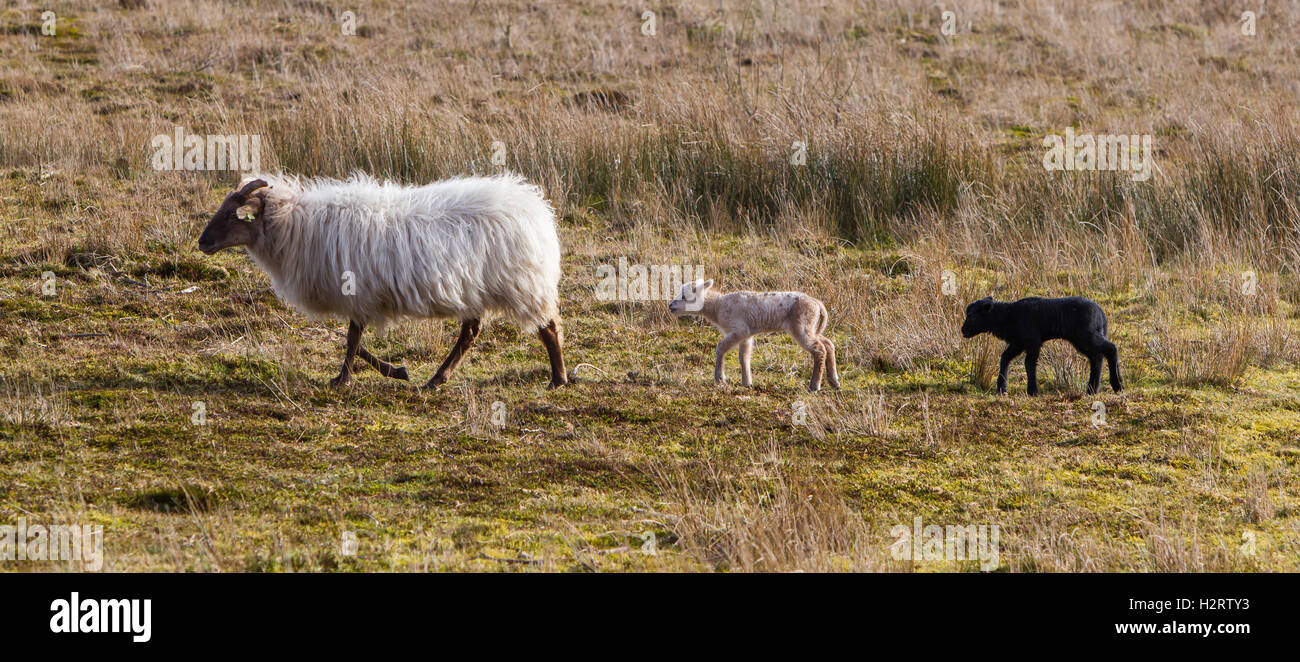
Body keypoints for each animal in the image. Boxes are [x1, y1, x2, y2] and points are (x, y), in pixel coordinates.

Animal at [197, 173, 569, 389]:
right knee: (470, 333)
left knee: (548, 328)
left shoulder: (357, 292)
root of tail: (533, 208)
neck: (294, 224)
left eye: (232, 214)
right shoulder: (363, 298)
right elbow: (356, 342)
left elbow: (352, 340)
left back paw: (558, 378)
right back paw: (437, 379)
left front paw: (342, 379)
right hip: (475, 289)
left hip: (523, 284)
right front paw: (396, 370)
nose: (202, 242)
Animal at [668, 279, 839, 391]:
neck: (717, 306)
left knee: (819, 349)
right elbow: (744, 357)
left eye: (684, 296)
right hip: (812, 326)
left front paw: (720, 378)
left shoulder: (739, 329)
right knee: (828, 343)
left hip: (802, 324)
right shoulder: (746, 334)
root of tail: (818, 304)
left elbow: (721, 348)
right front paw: (747, 382)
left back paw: (815, 385)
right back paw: (834, 381)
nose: (670, 305)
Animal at [960, 296, 1121, 396]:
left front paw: (1032, 391)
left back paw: (1117, 385)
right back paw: (1092, 390)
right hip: (1082, 339)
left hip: (1086, 334)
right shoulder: (1018, 342)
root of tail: (1101, 314)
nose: (963, 331)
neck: (1007, 316)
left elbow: (1029, 363)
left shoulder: (1033, 341)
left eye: (972, 316)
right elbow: (1005, 358)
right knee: (1097, 358)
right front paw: (1002, 389)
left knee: (1110, 349)